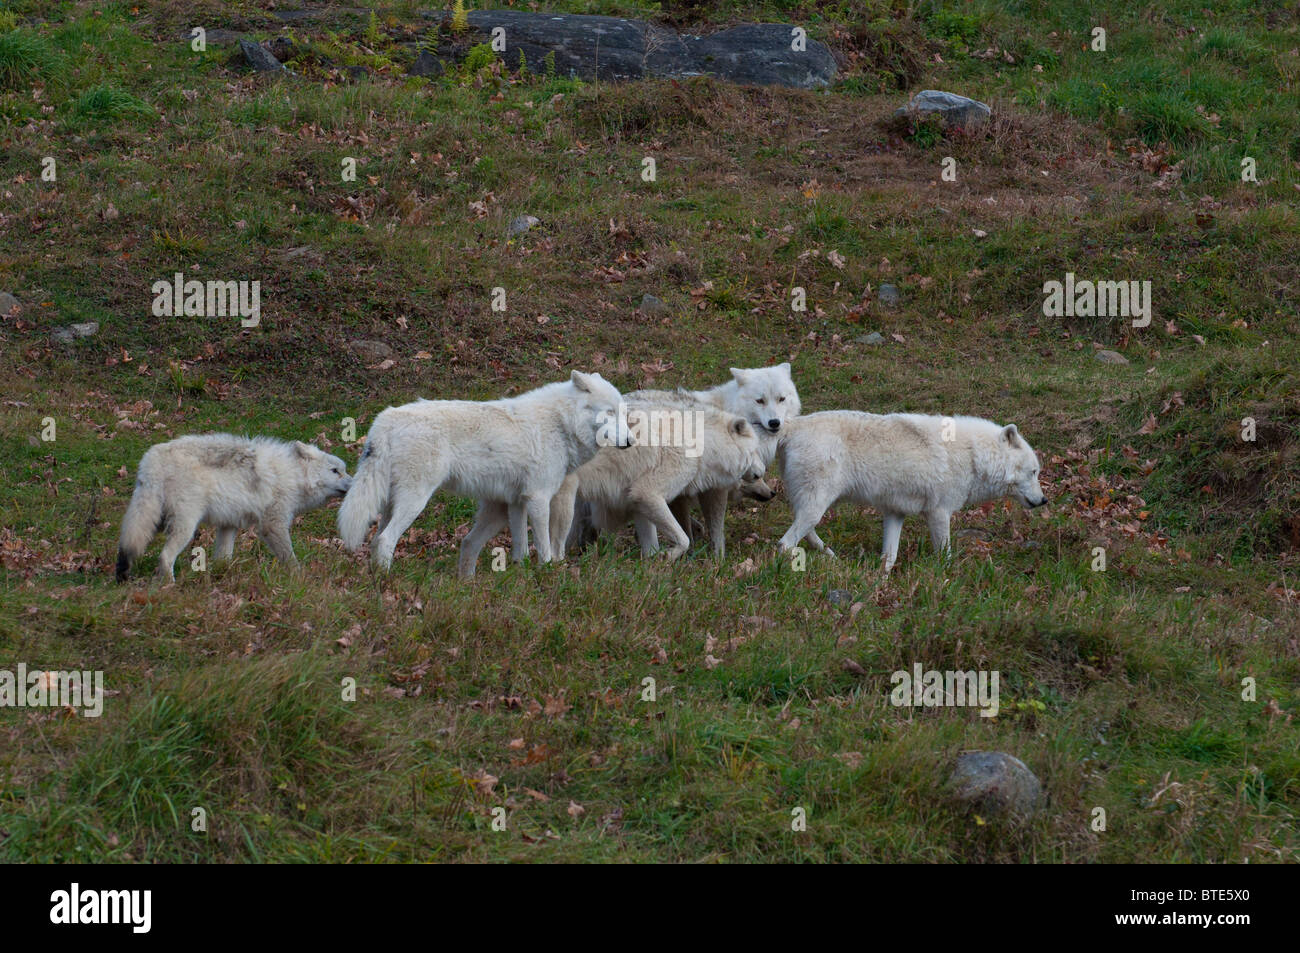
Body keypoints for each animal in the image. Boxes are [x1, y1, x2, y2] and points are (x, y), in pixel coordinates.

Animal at [116, 435, 352, 583]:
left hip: (152, 522)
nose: (353, 484)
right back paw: (169, 586)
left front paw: (222, 577)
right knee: (165, 557)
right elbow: (290, 559)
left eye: (344, 470)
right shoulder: (272, 525)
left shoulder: (228, 525)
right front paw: (300, 578)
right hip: (185, 527)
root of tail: (152, 459)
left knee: (128, 546)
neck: (293, 474)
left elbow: (223, 558)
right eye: (335, 471)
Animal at [337, 371, 628, 576]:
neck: (561, 423)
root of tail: (384, 419)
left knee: (376, 541)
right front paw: (547, 574)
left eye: (623, 413)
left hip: (392, 505)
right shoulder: (539, 498)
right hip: (415, 502)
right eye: (609, 412)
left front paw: (519, 575)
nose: (630, 441)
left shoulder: (516, 502)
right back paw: (387, 582)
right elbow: (544, 546)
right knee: (386, 540)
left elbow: (521, 549)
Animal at [549, 404, 770, 562]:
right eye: (756, 450)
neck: (703, 446)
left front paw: (653, 566)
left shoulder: (638, 504)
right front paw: (669, 556)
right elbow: (684, 538)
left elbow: (651, 546)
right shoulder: (648, 493)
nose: (772, 491)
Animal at [777, 412, 1046, 570]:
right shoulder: (939, 513)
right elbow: (945, 554)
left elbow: (890, 557)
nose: (1044, 500)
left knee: (804, 531)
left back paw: (829, 554)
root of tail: (792, 425)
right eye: (1034, 472)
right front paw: (948, 577)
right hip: (817, 505)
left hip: (817, 505)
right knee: (785, 543)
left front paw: (881, 583)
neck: (973, 456)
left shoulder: (895, 513)